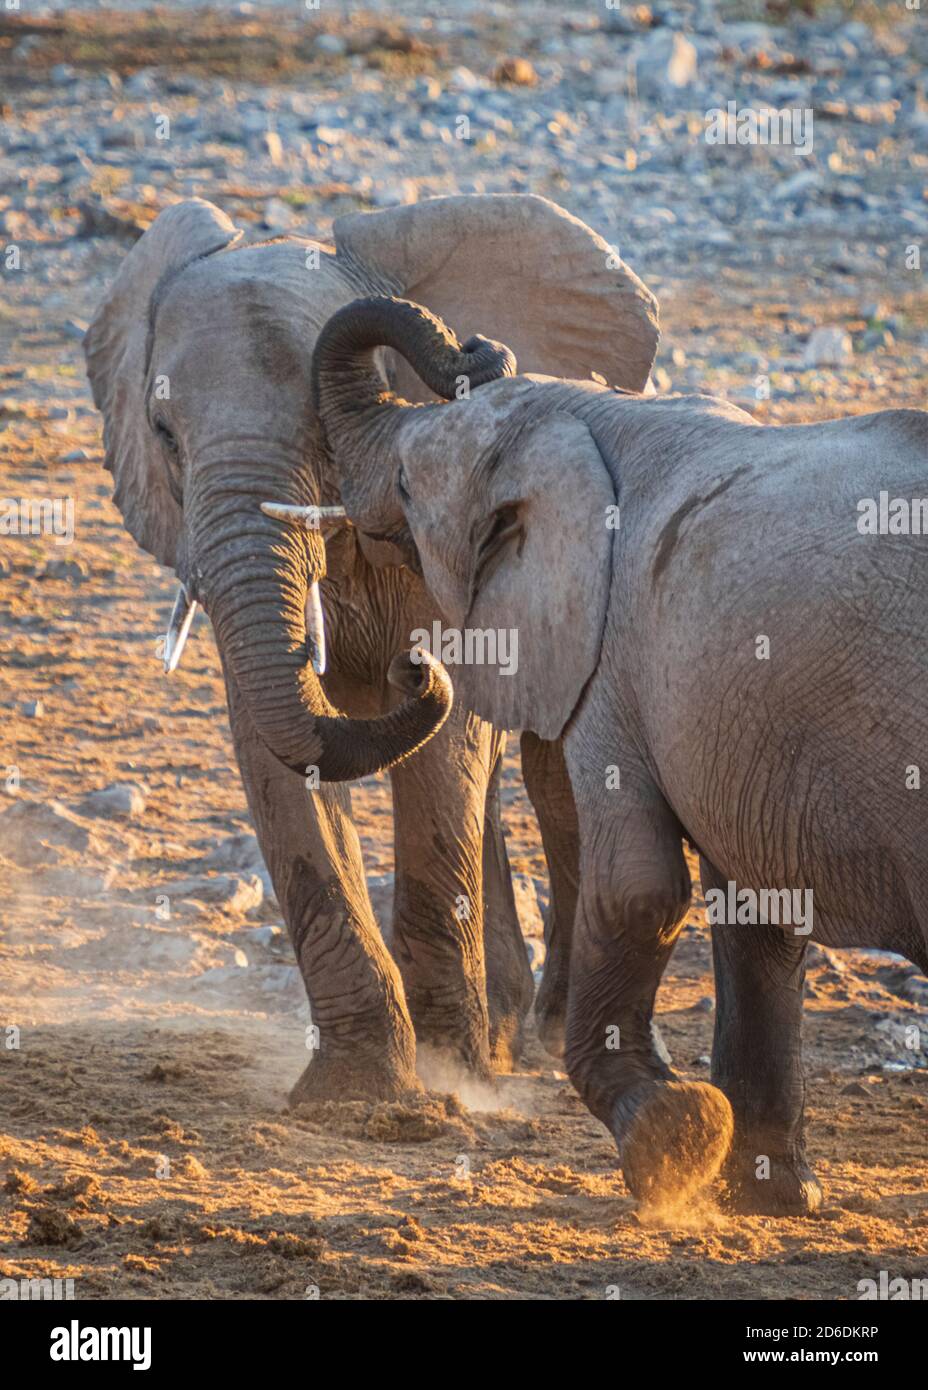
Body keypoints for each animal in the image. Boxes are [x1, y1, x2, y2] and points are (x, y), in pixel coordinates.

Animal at [83, 193, 660, 1103]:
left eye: (326, 431)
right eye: (165, 433)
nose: (481, 353)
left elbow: (446, 746)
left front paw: (449, 1072)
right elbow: (275, 746)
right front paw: (359, 1092)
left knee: (551, 774)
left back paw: (538, 1035)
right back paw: (504, 1030)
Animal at [308, 290, 928, 1213]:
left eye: (409, 486)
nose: (476, 344)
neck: (586, 412)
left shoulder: (617, 664)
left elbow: (641, 887)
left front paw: (674, 1141)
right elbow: (758, 911)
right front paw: (772, 1197)